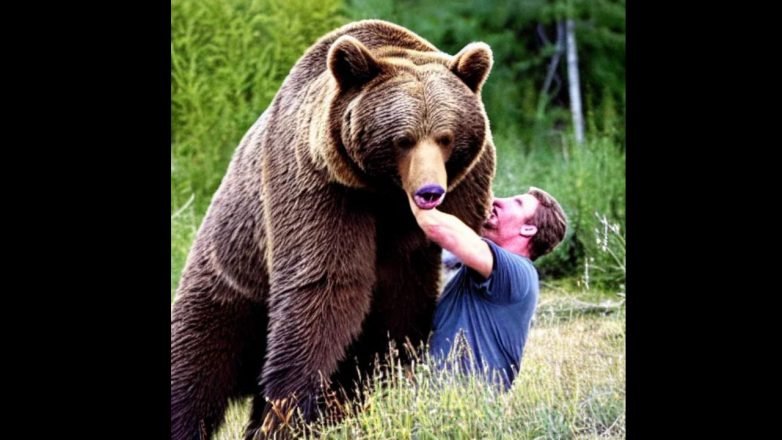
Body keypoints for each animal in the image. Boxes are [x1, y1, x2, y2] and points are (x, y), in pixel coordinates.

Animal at [171, 19, 496, 439]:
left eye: (446, 138)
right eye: (403, 140)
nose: (429, 192)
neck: (385, 193)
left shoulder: (465, 184)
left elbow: (413, 300)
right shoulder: (322, 185)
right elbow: (324, 284)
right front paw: (291, 410)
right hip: (233, 272)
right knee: (198, 358)